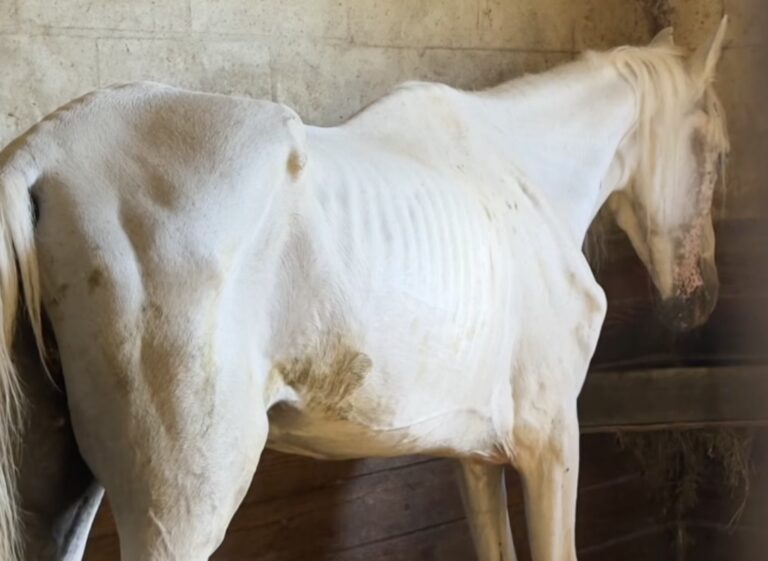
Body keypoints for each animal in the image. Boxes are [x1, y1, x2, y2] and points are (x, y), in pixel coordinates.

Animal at [0, 18, 729, 561]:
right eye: (716, 148)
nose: (701, 303)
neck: (521, 175)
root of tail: (41, 157)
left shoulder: (477, 457)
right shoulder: (551, 442)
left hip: (61, 493)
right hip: (179, 512)